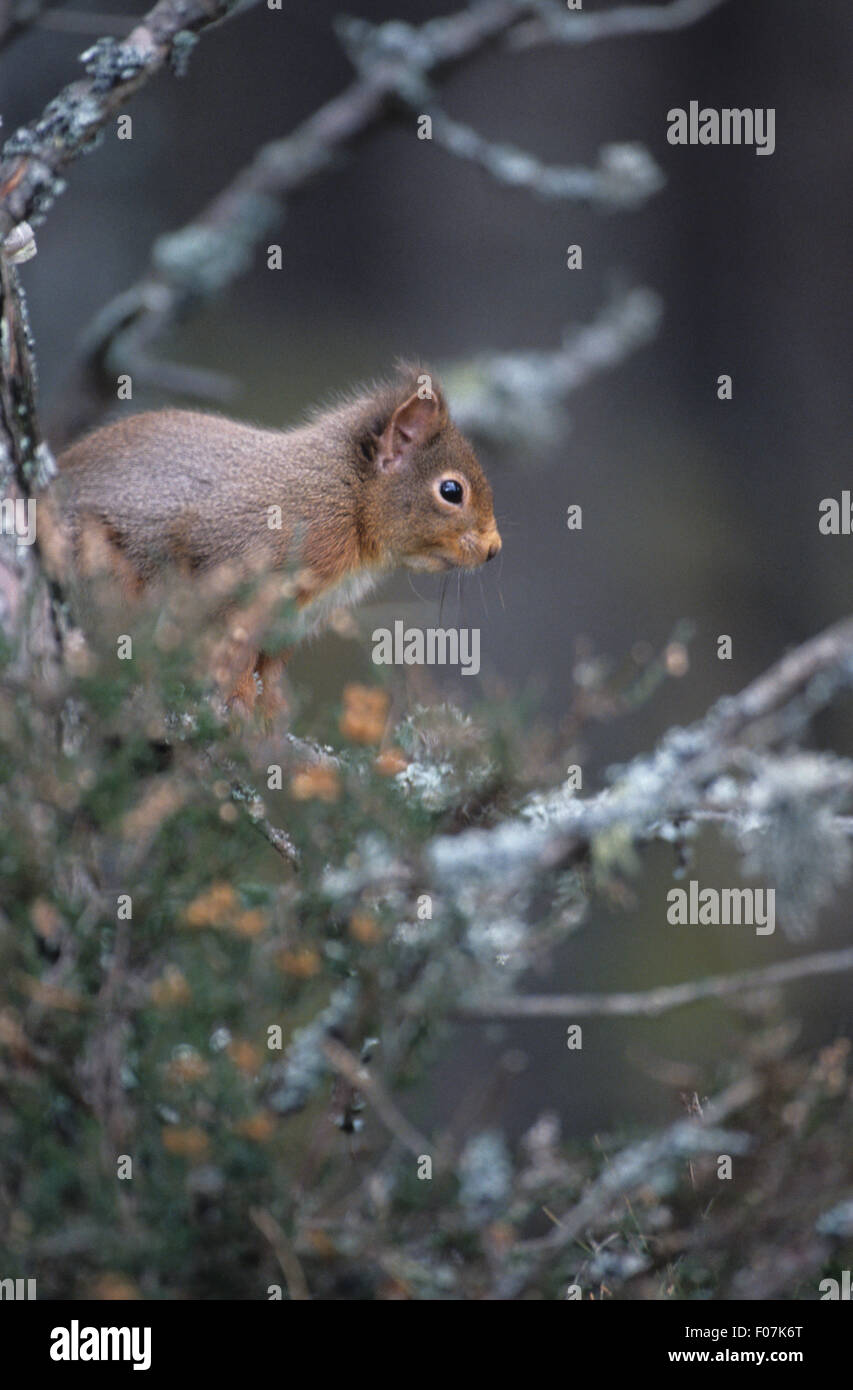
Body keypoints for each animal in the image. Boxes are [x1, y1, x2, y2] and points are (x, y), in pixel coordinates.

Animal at [48, 368, 501, 717]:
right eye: (451, 491)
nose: (494, 548)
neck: (347, 500)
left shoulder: (291, 623)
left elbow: (268, 669)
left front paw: (272, 716)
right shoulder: (240, 567)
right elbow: (232, 652)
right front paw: (237, 701)